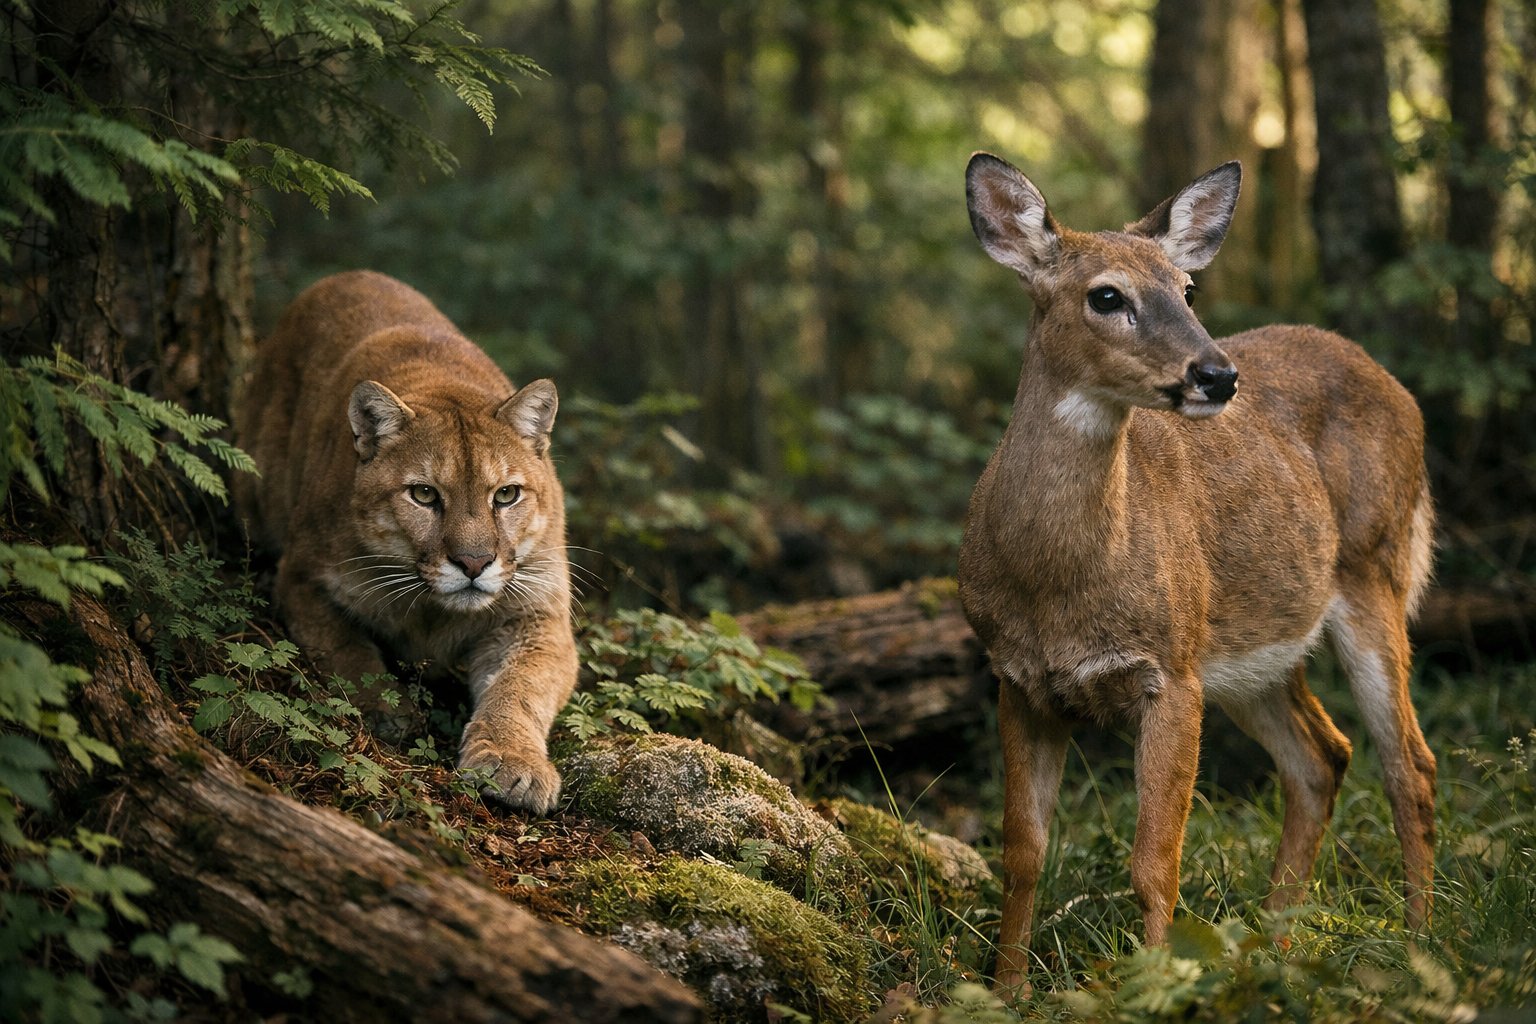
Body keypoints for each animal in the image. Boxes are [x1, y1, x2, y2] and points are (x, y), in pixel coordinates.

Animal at [956, 152, 1438, 996]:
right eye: (1106, 295)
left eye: (1187, 290)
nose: (1217, 375)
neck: (1056, 585)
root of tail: (1394, 383)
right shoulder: (1017, 679)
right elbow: (1021, 856)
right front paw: (1004, 992)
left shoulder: (1171, 670)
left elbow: (1154, 863)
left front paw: (1152, 988)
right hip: (1251, 650)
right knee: (1322, 757)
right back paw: (1273, 954)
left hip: (1373, 571)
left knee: (1408, 764)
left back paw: (1417, 951)